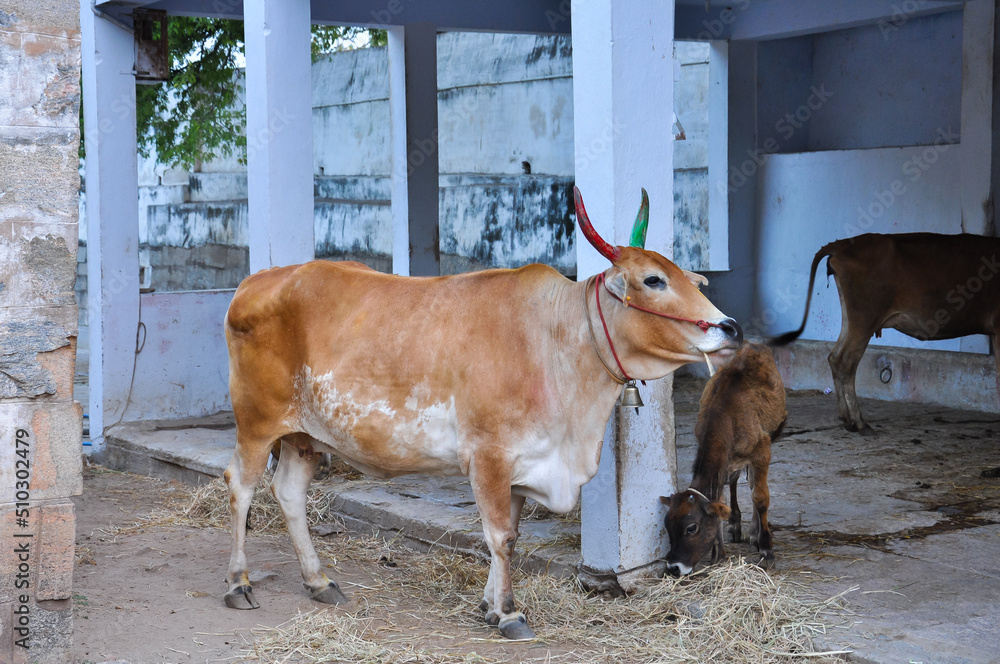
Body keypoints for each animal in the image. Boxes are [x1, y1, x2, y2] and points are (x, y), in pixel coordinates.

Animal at [222, 187, 743, 639]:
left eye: (693, 280)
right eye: (653, 280)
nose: (731, 328)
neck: (556, 341)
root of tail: (258, 279)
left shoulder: (521, 467)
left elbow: (510, 534)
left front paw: (491, 607)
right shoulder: (490, 457)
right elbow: (500, 537)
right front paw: (510, 614)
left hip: (304, 437)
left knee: (289, 493)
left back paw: (318, 581)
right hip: (256, 423)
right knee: (241, 487)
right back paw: (238, 583)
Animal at [661, 342, 786, 576]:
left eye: (691, 528)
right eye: (667, 526)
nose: (674, 567)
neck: (726, 418)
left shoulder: (762, 451)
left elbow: (760, 497)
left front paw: (766, 550)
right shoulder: (723, 462)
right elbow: (720, 498)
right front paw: (718, 554)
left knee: (754, 486)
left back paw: (755, 532)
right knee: (735, 481)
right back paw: (737, 524)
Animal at [773, 233, 1000, 434]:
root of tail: (844, 243)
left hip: (850, 319)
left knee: (834, 356)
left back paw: (846, 419)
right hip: (865, 319)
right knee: (846, 362)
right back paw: (859, 423)